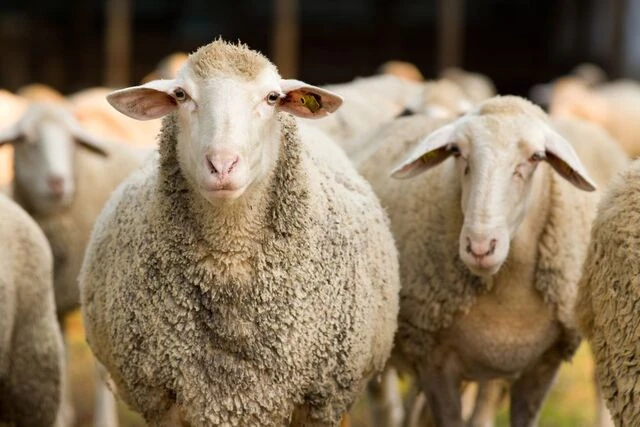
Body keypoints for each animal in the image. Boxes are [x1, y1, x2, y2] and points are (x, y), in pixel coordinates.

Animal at [79, 39, 400, 426]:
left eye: (272, 97)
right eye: (181, 95)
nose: (222, 165)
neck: (229, 254)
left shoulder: (320, 400)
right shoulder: (163, 398)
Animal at [358, 96, 628, 426]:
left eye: (536, 157)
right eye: (456, 151)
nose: (480, 247)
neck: (509, 298)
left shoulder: (542, 367)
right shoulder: (435, 362)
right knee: (384, 405)